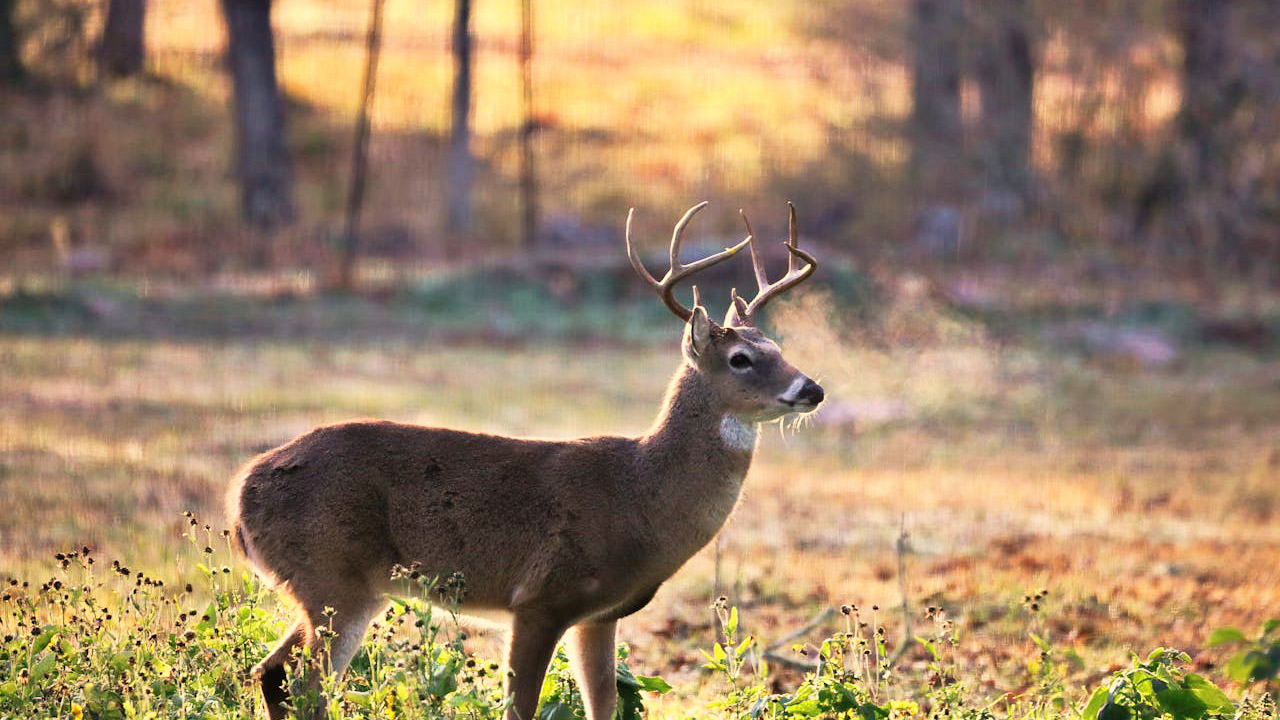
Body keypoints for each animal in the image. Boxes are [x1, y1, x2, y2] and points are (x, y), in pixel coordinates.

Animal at [226, 201, 824, 720]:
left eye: (776, 347)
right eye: (740, 359)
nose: (812, 389)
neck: (642, 498)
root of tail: (240, 498)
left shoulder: (599, 614)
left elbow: (603, 706)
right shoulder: (540, 598)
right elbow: (521, 708)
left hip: (340, 588)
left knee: (272, 675)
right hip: (333, 577)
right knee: (304, 687)